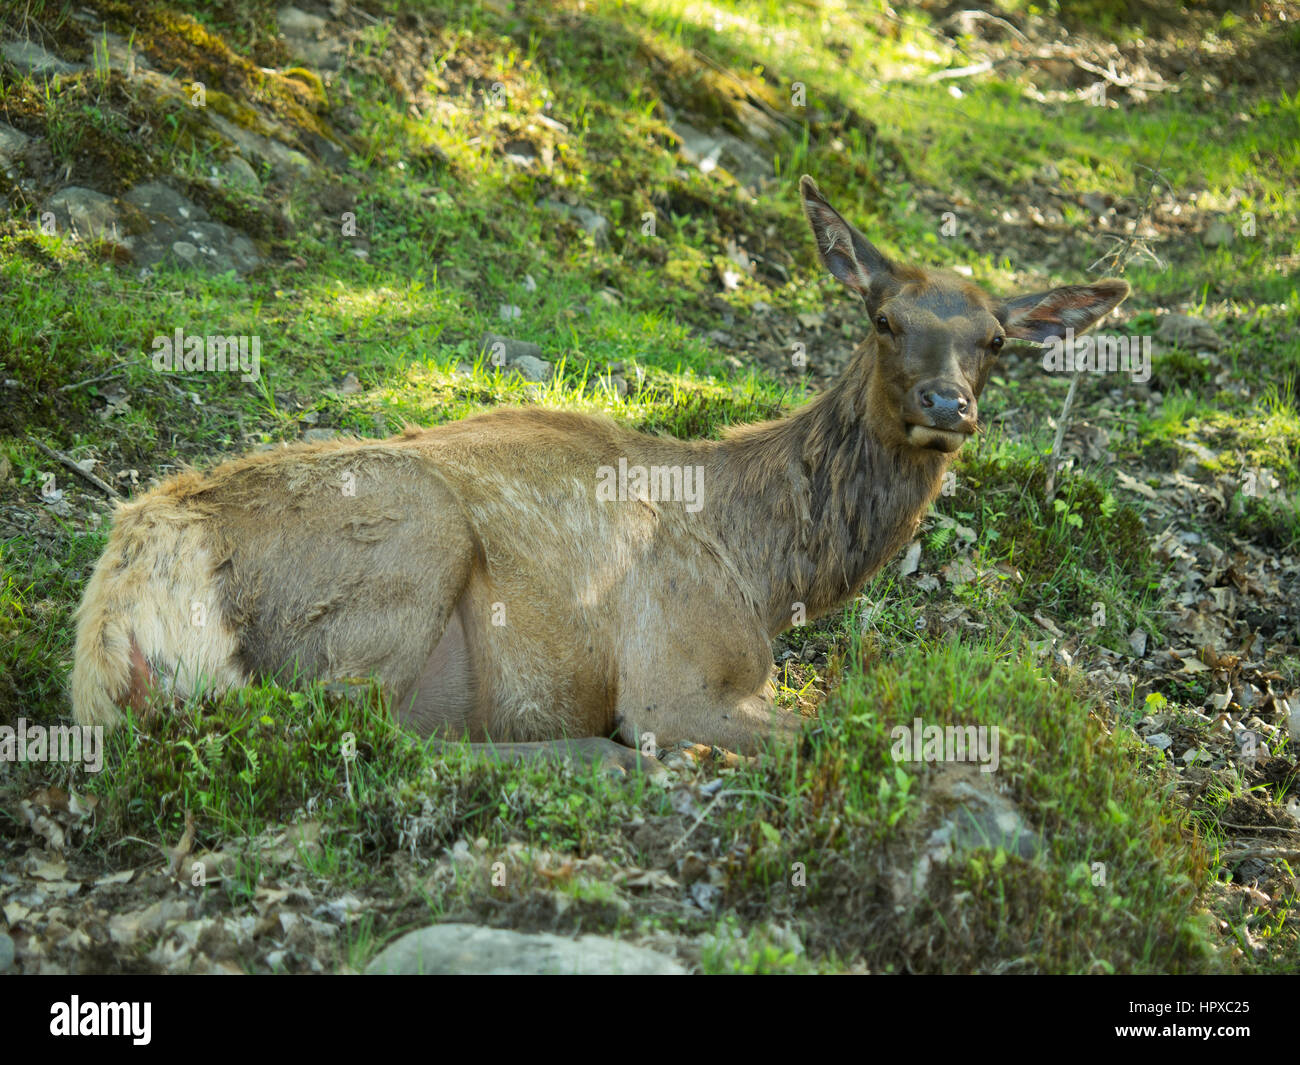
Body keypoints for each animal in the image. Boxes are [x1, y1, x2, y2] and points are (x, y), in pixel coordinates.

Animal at [70, 176, 1129, 774]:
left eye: (995, 340)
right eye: (883, 319)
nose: (949, 406)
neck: (768, 569)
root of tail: (125, 594)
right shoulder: (674, 674)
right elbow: (835, 722)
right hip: (409, 549)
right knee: (361, 728)